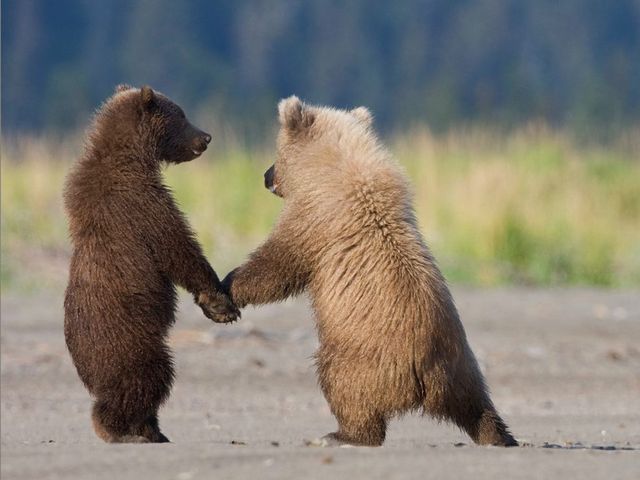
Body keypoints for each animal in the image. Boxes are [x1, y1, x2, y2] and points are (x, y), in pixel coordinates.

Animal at [63, 85, 239, 443]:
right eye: (182, 115)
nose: (206, 136)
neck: (133, 156)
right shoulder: (139, 201)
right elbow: (176, 246)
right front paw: (219, 303)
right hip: (131, 342)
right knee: (147, 378)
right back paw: (124, 429)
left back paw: (152, 429)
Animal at [223, 96, 517, 447]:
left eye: (276, 153)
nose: (266, 175)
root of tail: (427, 377)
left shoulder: (317, 220)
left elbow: (279, 265)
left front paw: (227, 286)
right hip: (462, 366)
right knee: (476, 405)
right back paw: (499, 436)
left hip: (363, 357)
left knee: (343, 386)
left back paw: (342, 434)